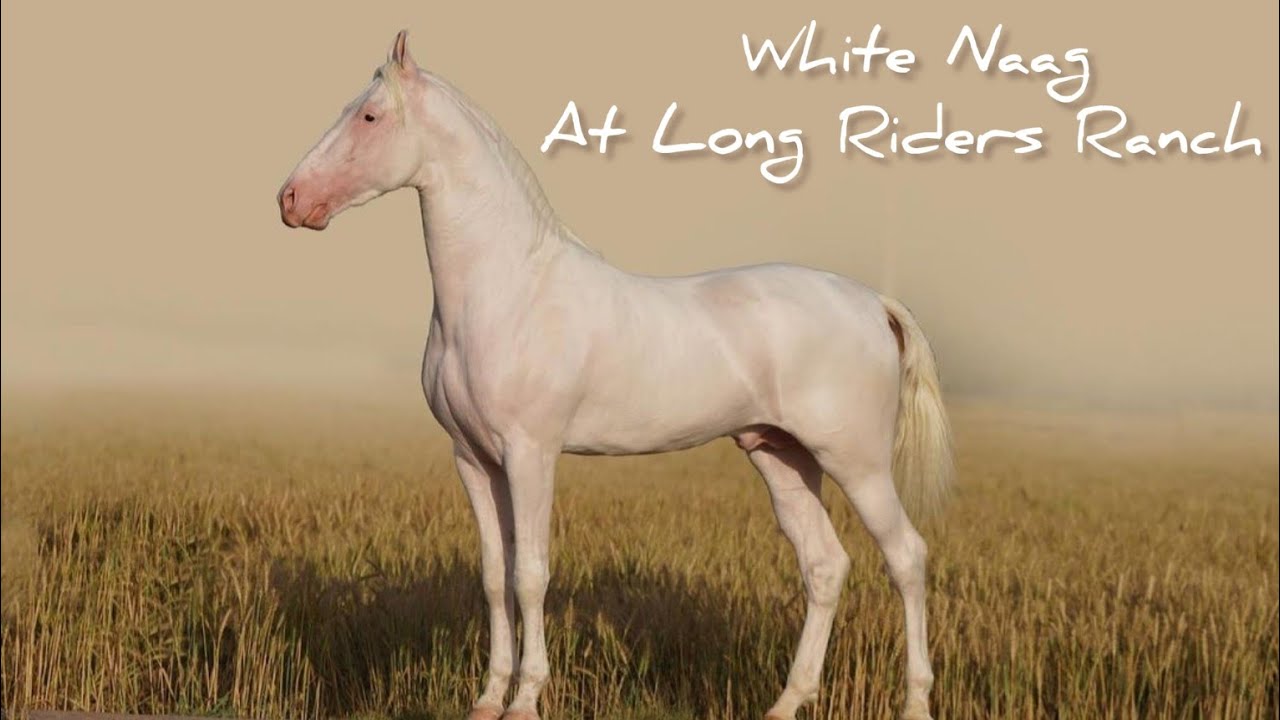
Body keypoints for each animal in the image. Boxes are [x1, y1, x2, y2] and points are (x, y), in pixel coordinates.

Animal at [277, 30, 953, 720]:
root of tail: (872, 302)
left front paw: (526, 698)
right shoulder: (473, 458)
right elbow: (494, 576)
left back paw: (914, 702)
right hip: (781, 455)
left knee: (906, 557)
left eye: (368, 116)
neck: (508, 287)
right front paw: (489, 698)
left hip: (856, 461)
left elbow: (530, 574)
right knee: (825, 565)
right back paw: (787, 702)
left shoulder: (531, 453)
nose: (291, 201)